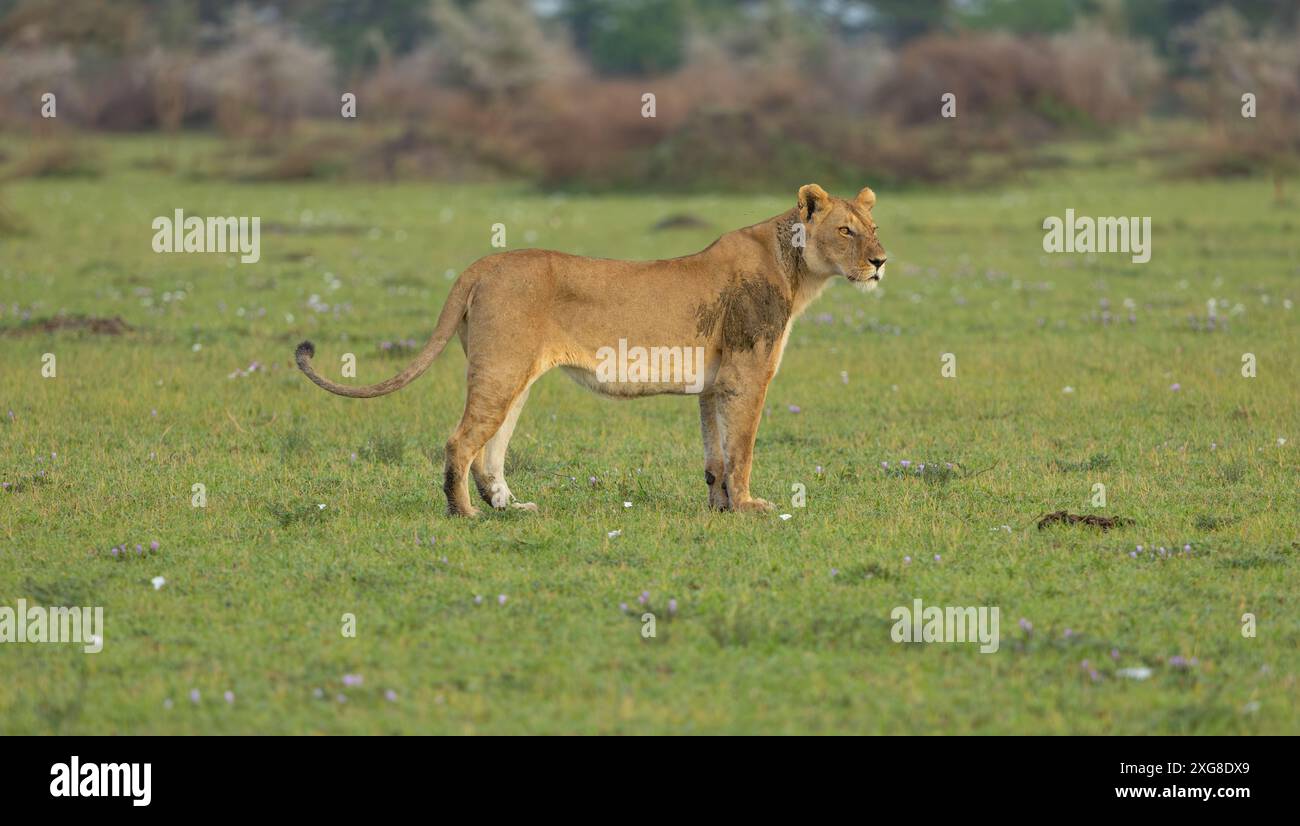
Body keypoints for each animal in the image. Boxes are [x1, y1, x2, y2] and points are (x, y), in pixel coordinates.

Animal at [296, 184, 887, 516]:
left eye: (874, 227)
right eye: (845, 230)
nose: (881, 261)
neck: (799, 272)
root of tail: (481, 264)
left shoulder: (713, 382)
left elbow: (715, 453)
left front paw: (720, 508)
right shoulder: (747, 375)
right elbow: (741, 449)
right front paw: (749, 507)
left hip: (514, 375)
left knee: (491, 448)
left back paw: (510, 507)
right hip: (502, 370)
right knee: (460, 441)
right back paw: (464, 514)